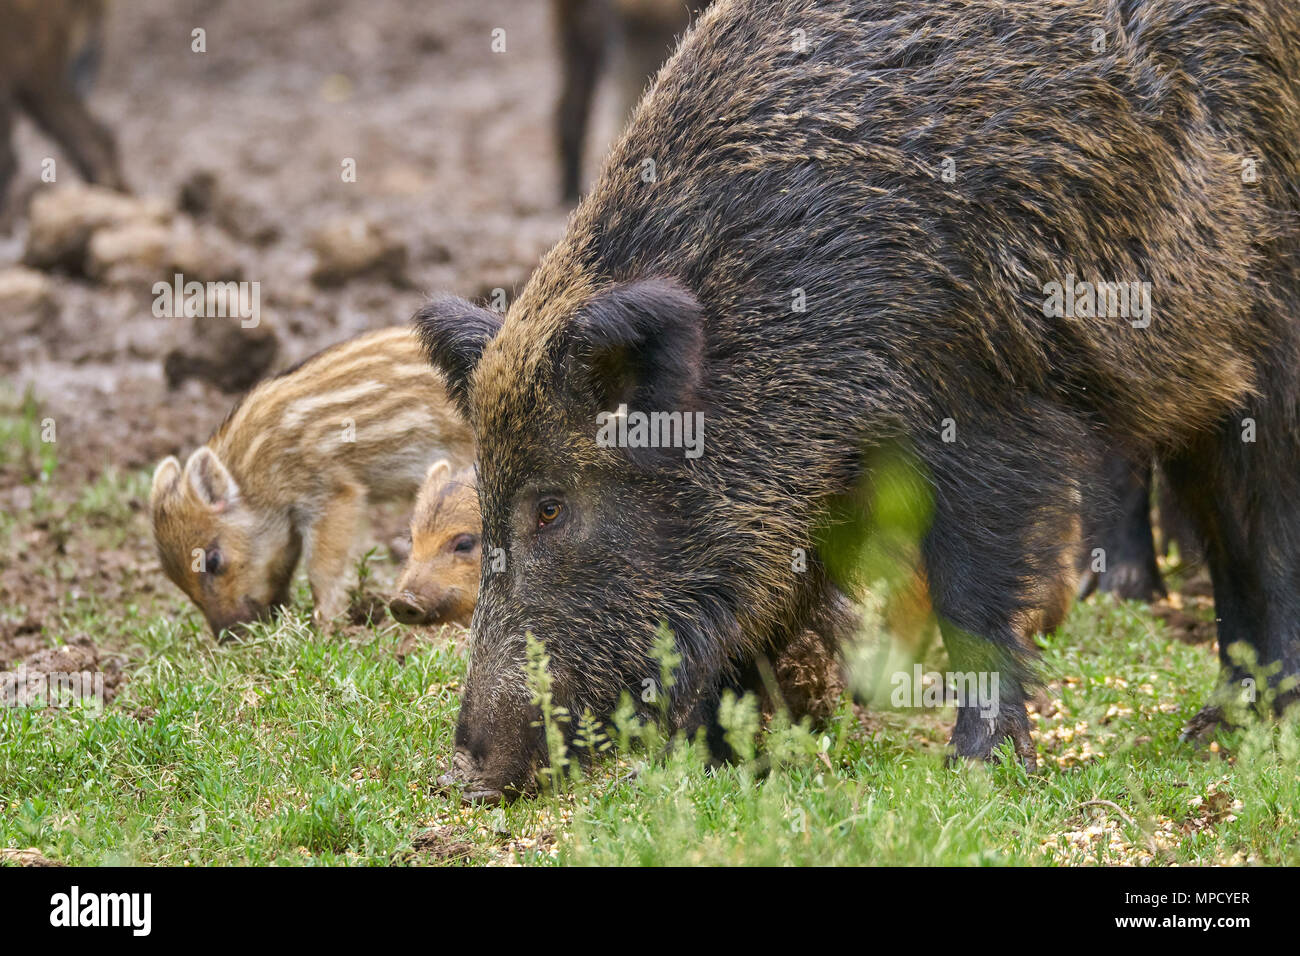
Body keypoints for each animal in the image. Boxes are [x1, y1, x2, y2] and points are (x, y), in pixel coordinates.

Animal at [150, 327, 473, 639]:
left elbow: (321, 569)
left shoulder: (332, 493)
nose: (228, 638)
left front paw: (324, 629)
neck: (255, 473)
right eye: (173, 578)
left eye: (214, 560)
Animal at [418, 0, 1300, 801]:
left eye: (551, 507)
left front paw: (977, 770)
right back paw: (1220, 725)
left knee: (1266, 530)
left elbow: (971, 598)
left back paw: (1230, 730)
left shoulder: (987, 407)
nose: (465, 773)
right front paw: (715, 768)